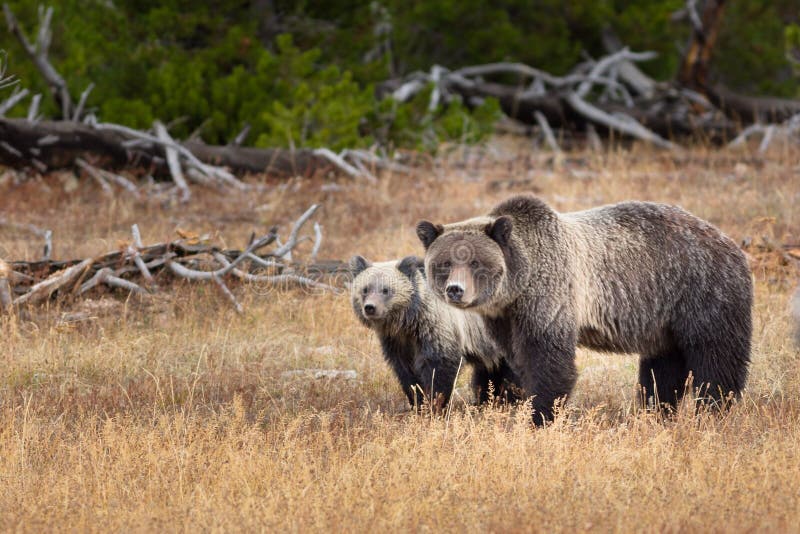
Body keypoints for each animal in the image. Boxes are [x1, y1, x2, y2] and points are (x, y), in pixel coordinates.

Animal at [349, 255, 519, 410]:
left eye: (386, 290)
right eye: (365, 289)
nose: (370, 307)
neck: (408, 322)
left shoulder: (437, 329)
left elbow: (438, 368)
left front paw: (433, 404)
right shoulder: (397, 341)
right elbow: (406, 372)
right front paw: (416, 402)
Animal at [416, 195, 753, 424]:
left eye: (475, 262)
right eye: (444, 263)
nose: (456, 289)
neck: (518, 286)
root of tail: (729, 242)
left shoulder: (551, 295)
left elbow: (549, 361)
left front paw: (541, 416)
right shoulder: (505, 318)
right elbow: (514, 363)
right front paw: (508, 400)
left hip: (702, 291)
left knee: (716, 358)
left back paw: (711, 410)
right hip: (663, 317)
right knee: (663, 368)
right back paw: (656, 410)